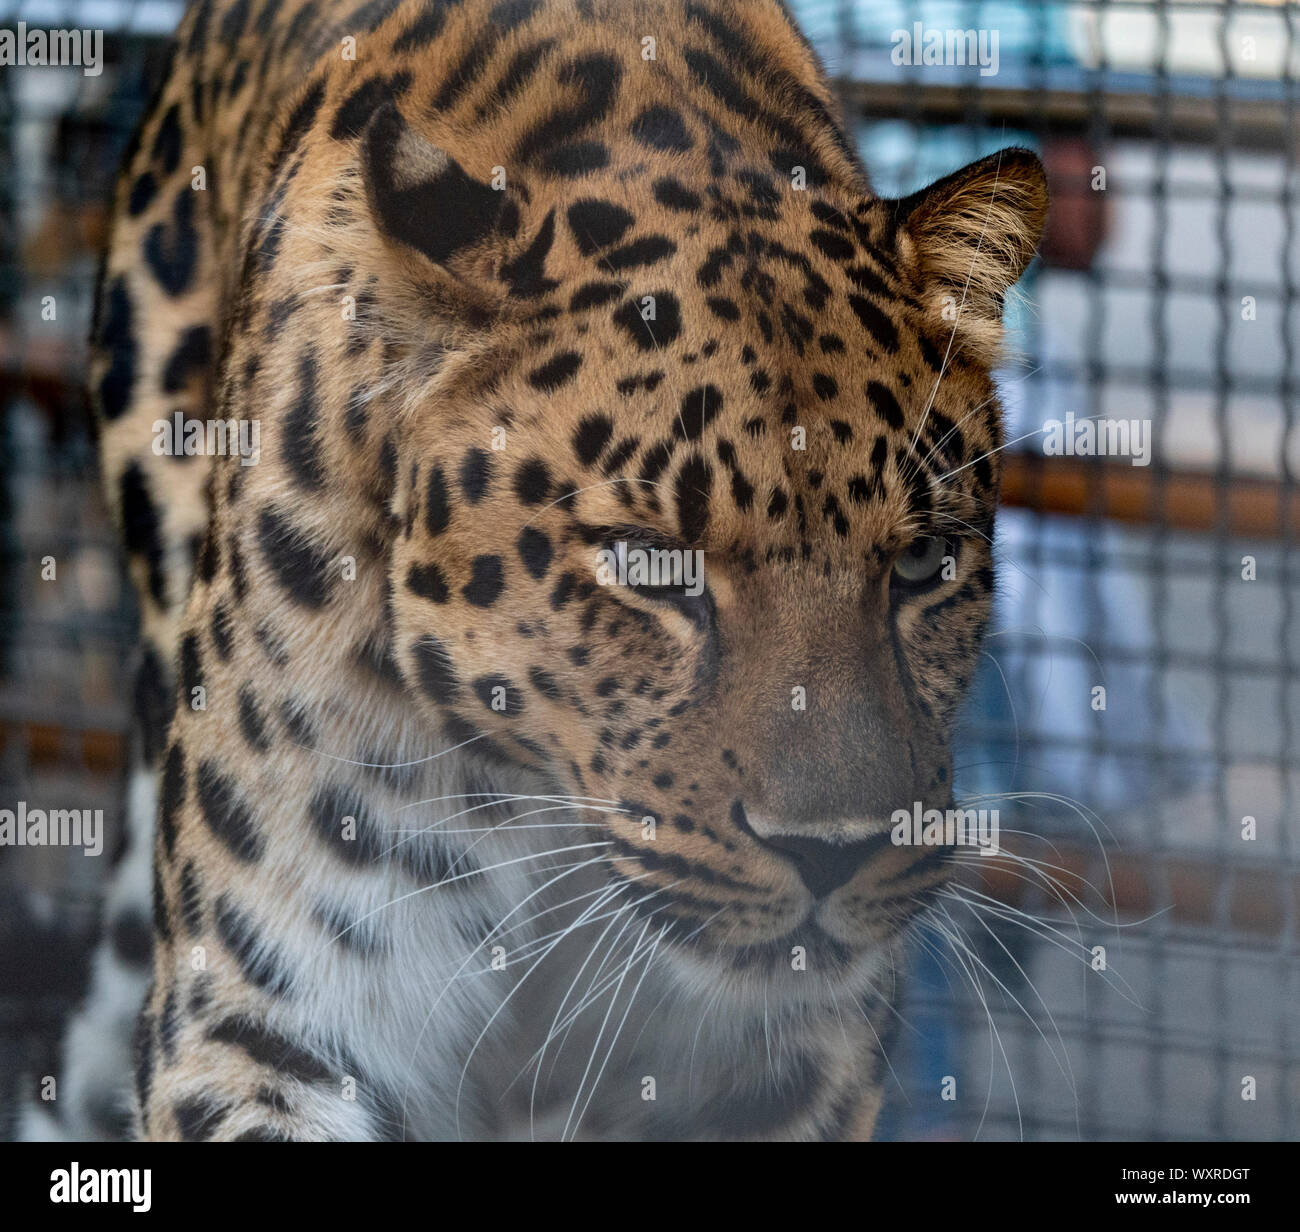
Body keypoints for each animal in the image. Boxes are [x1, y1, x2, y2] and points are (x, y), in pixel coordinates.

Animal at [41, 0, 1047, 1141]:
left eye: (921, 560)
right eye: (651, 566)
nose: (833, 851)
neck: (545, 810)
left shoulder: (789, 1064)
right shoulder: (267, 1021)